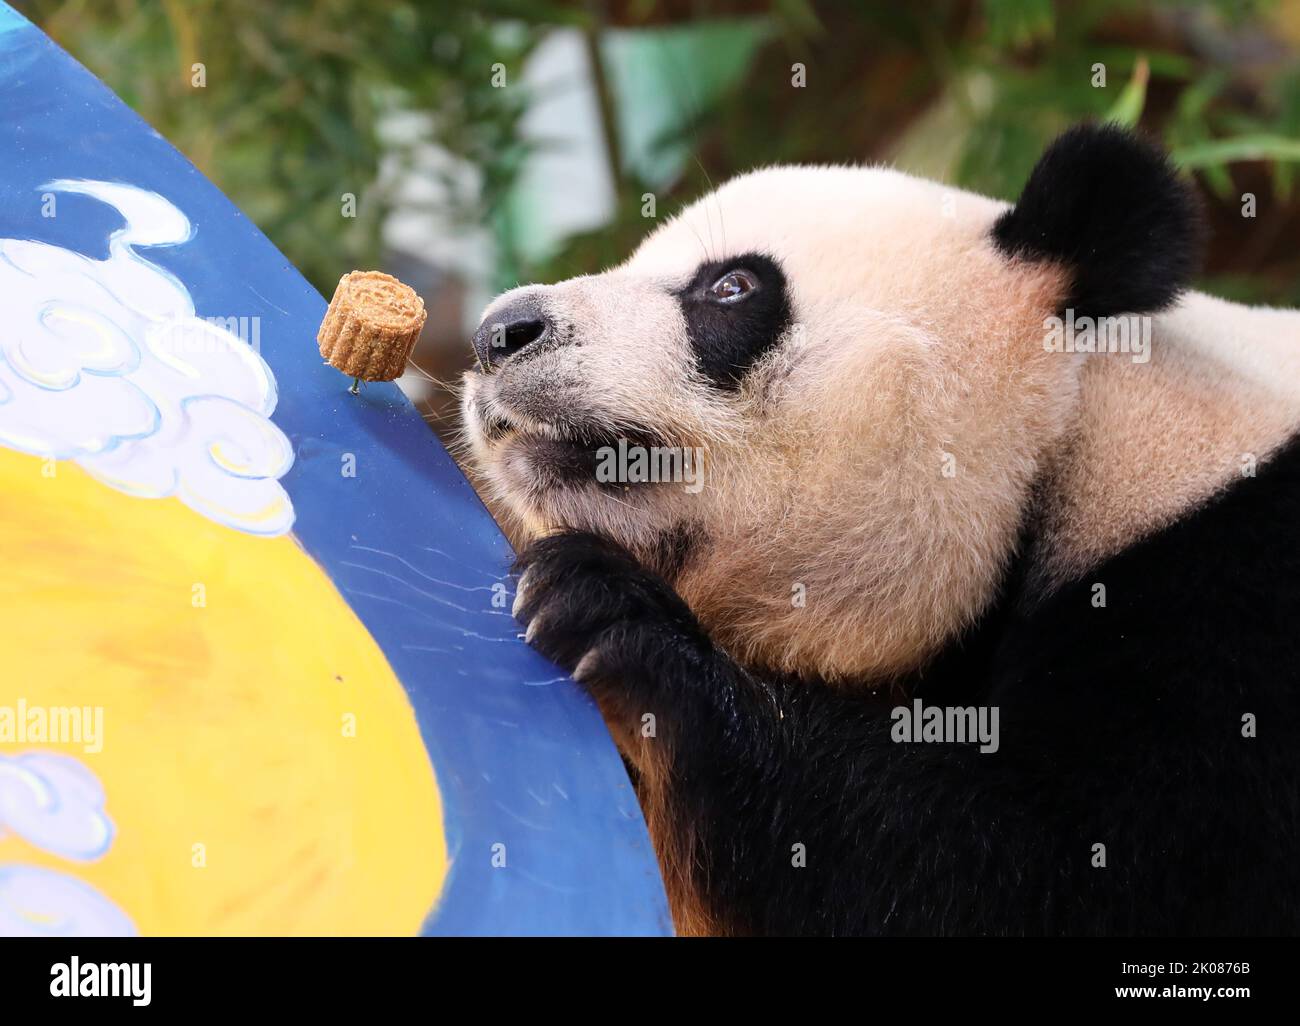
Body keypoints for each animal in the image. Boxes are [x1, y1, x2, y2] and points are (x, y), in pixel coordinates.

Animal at [459, 124, 1300, 936]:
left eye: (732, 286)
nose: (500, 332)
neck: (1069, 432)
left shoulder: (1226, 601)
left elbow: (1052, 878)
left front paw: (612, 619)